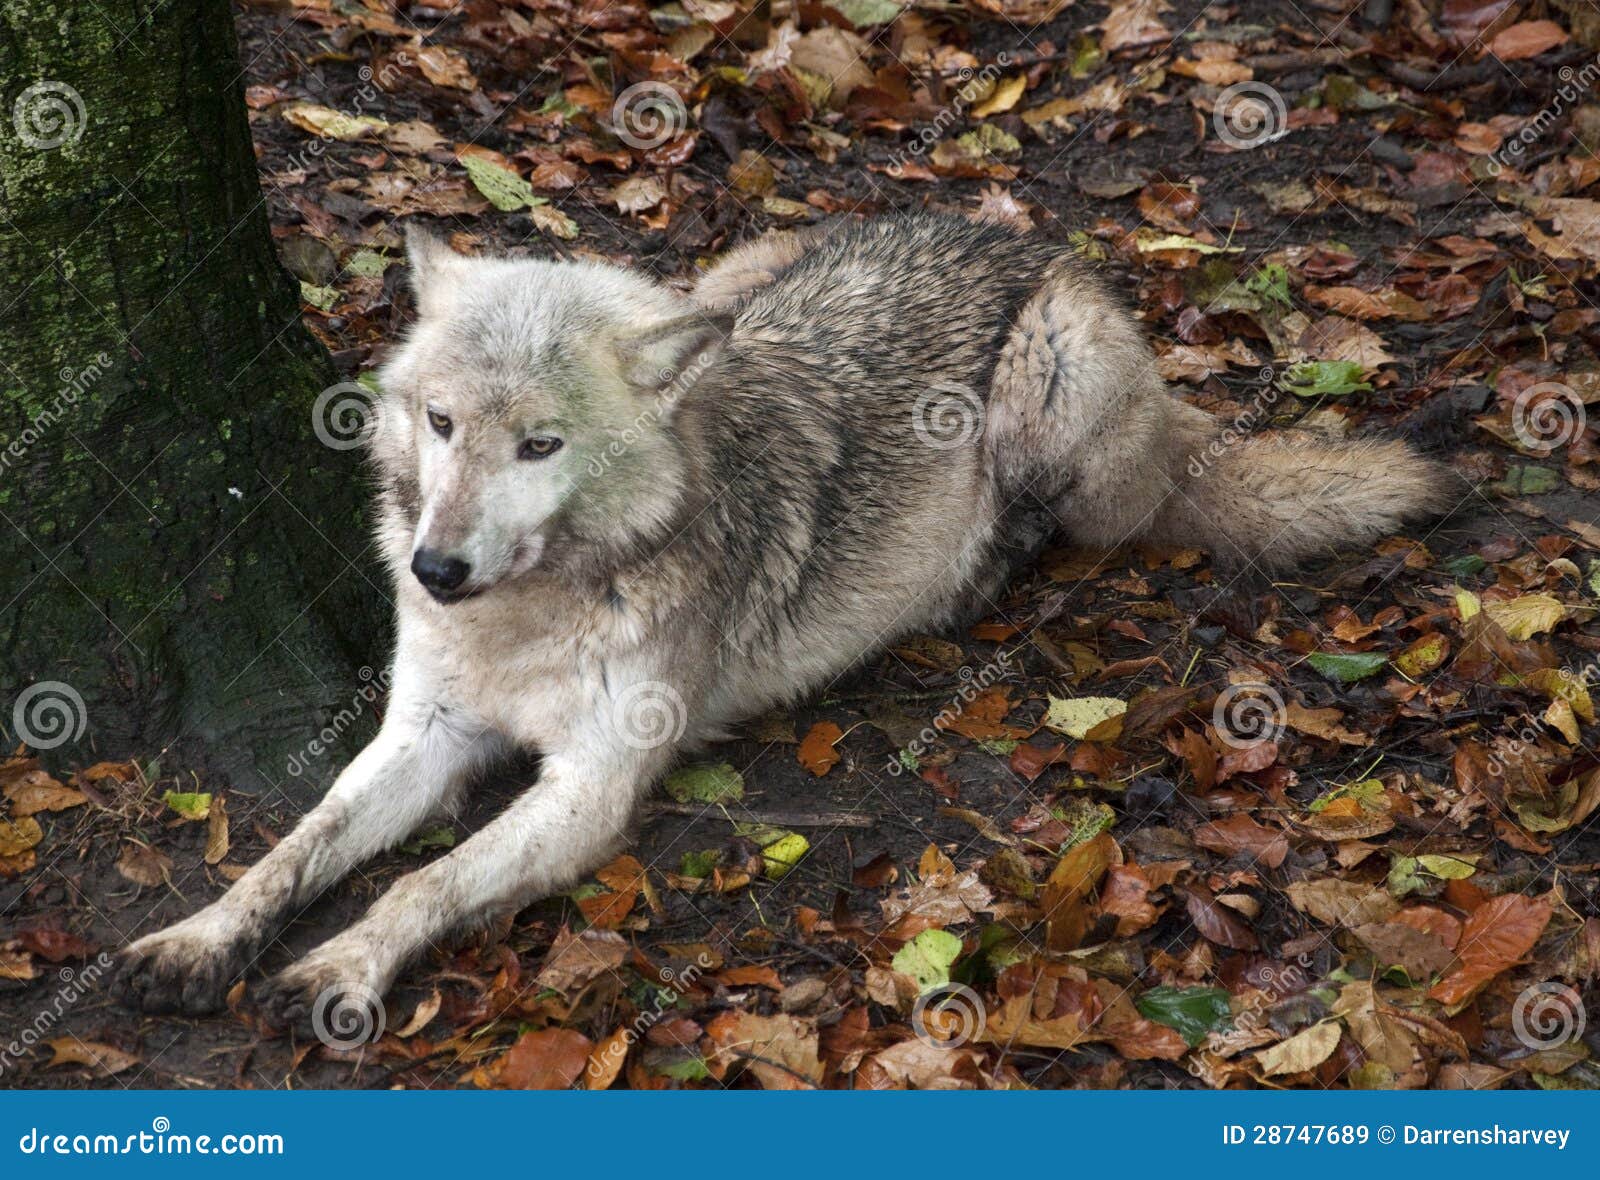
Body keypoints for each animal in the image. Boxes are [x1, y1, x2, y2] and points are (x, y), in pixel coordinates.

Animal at [113, 213, 1444, 1023]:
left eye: (540, 445)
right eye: (439, 424)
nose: (436, 568)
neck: (534, 612)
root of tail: (1013, 235)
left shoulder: (588, 791)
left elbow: (422, 887)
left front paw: (339, 965)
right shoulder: (425, 734)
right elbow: (296, 846)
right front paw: (200, 938)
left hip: (1057, 400)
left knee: (1089, 525)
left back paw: (979, 572)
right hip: (731, 282)